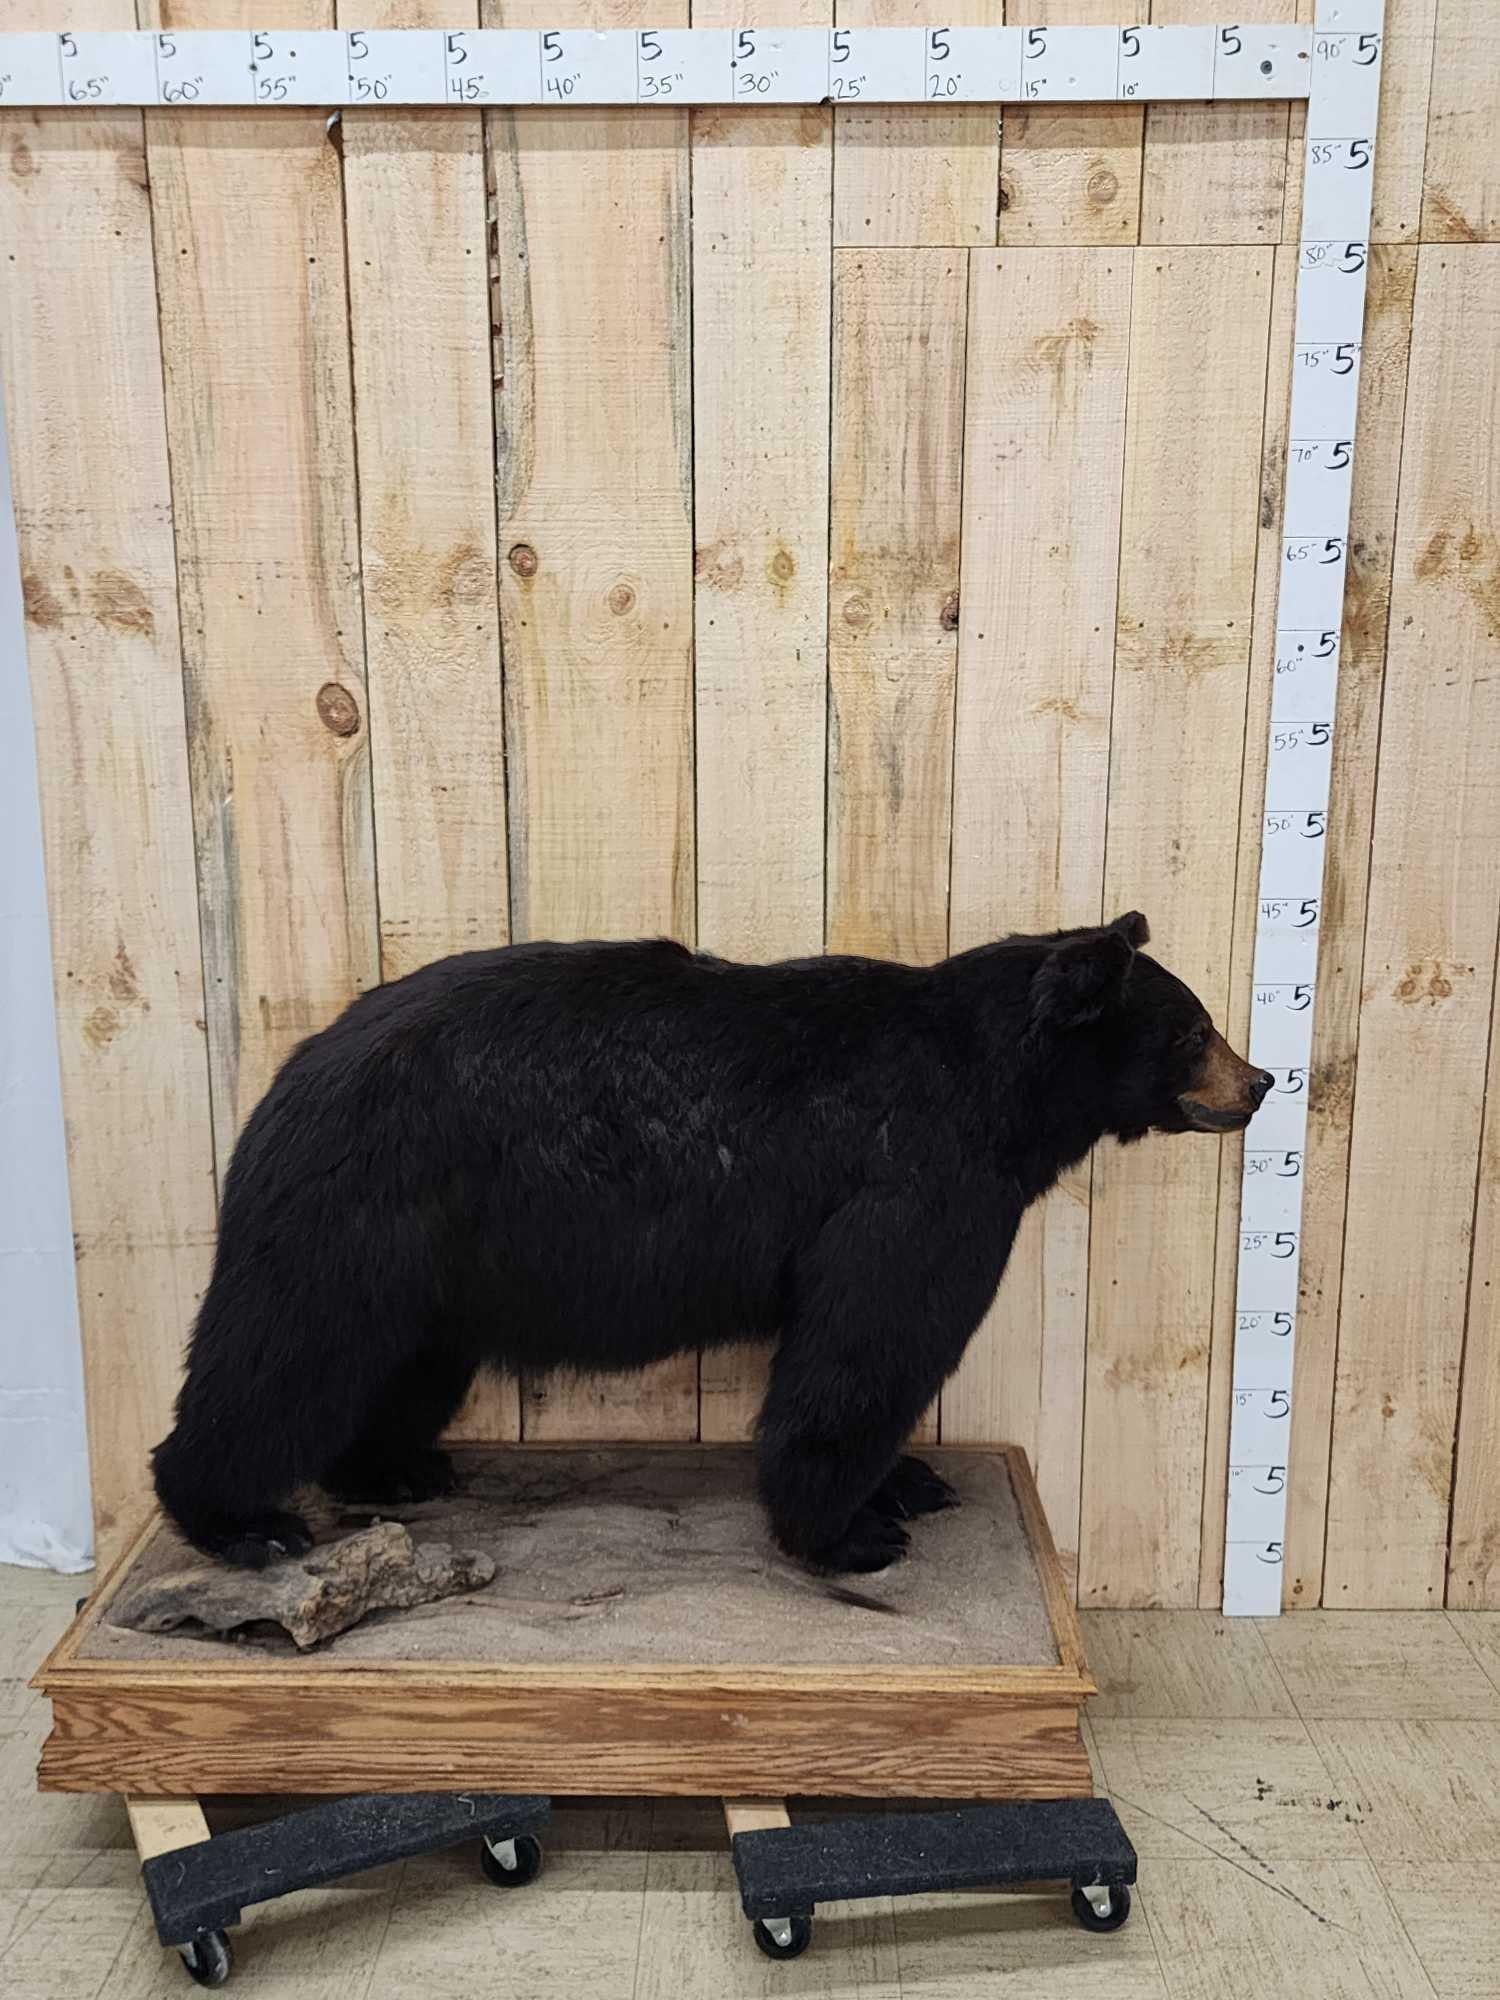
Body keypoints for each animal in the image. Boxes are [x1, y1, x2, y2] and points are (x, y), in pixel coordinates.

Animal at [150, 912, 1272, 1574]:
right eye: (1192, 1029)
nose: (1260, 1081)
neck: (995, 1092)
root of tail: (285, 1082)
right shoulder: (910, 1184)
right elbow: (868, 1345)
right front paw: (851, 1527)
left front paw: (907, 1479)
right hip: (359, 1213)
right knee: (283, 1352)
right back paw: (238, 1519)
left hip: (432, 1265)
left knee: (391, 1364)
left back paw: (389, 1470)